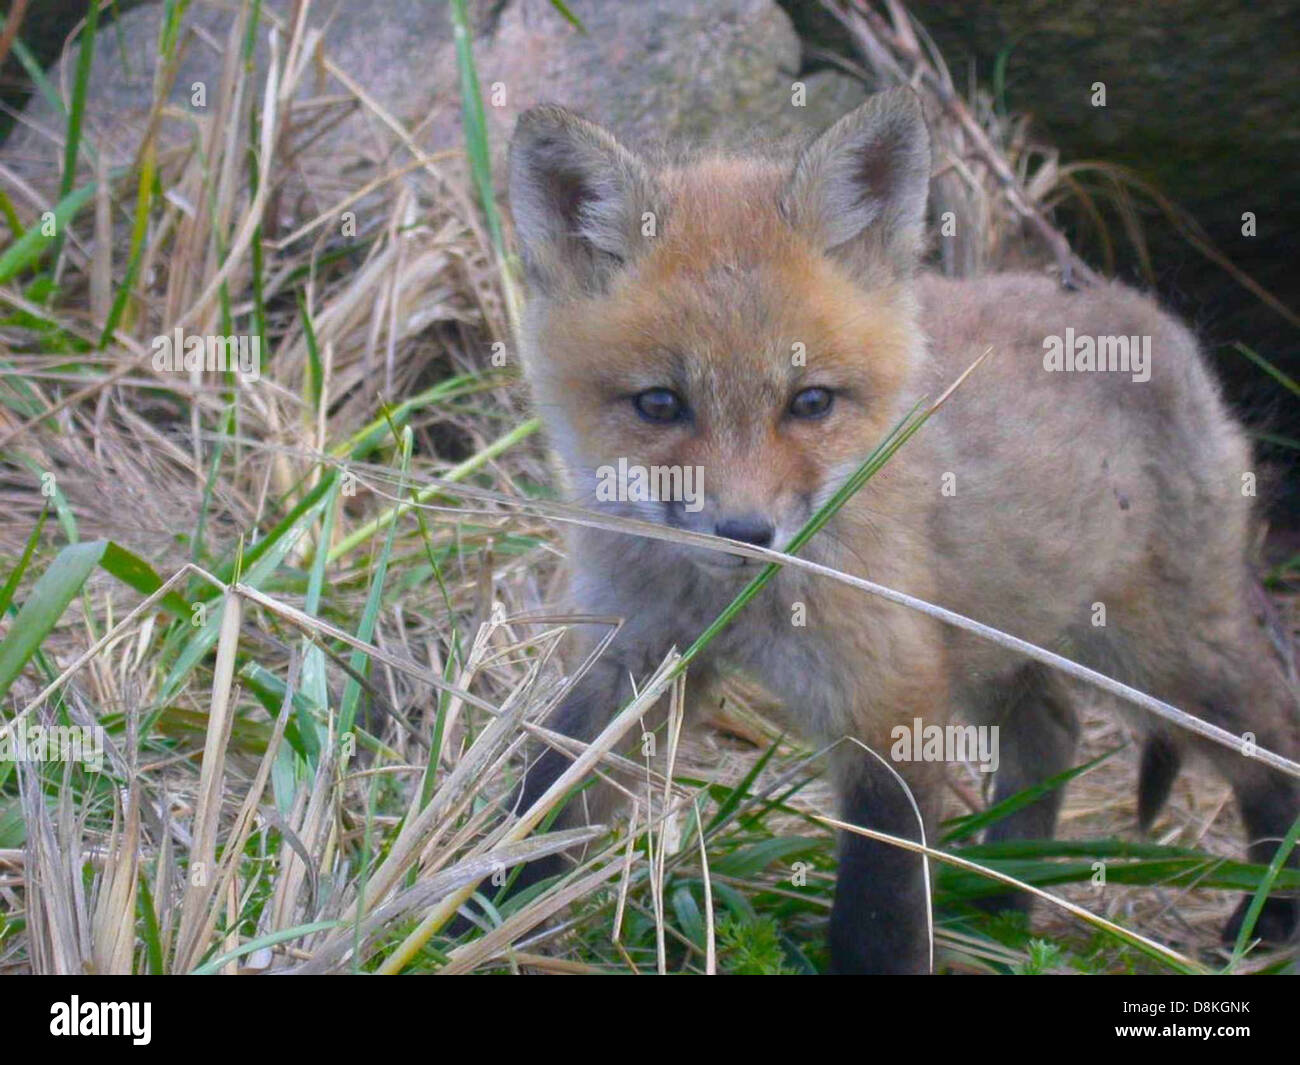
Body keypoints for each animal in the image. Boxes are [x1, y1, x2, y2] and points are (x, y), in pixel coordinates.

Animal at [487, 87, 1300, 973]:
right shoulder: (627, 654)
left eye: (810, 402)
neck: (733, 606)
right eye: (661, 404)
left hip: (1159, 654)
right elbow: (536, 808)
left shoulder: (892, 687)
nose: (745, 531)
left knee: (1269, 733)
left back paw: (1272, 908)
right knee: (1053, 725)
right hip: (997, 633)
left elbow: (882, 897)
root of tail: (1148, 313)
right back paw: (1002, 899)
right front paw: (468, 922)